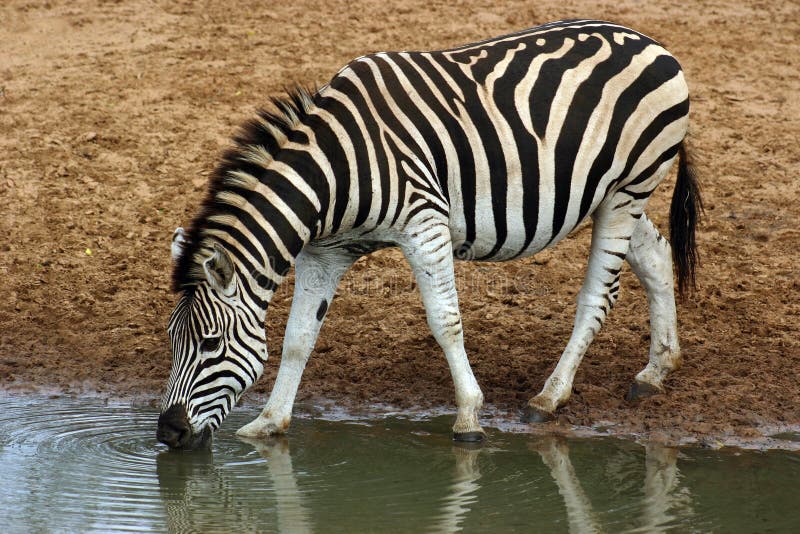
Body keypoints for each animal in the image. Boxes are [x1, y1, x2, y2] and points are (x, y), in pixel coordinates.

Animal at [156, 19, 702, 449]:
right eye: (171, 340)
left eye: (209, 344)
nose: (167, 433)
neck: (334, 174)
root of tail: (650, 42)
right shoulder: (325, 252)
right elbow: (297, 337)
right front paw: (269, 423)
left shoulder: (426, 225)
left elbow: (445, 322)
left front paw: (469, 418)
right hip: (608, 192)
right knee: (656, 256)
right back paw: (656, 371)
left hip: (628, 188)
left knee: (599, 293)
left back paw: (549, 398)